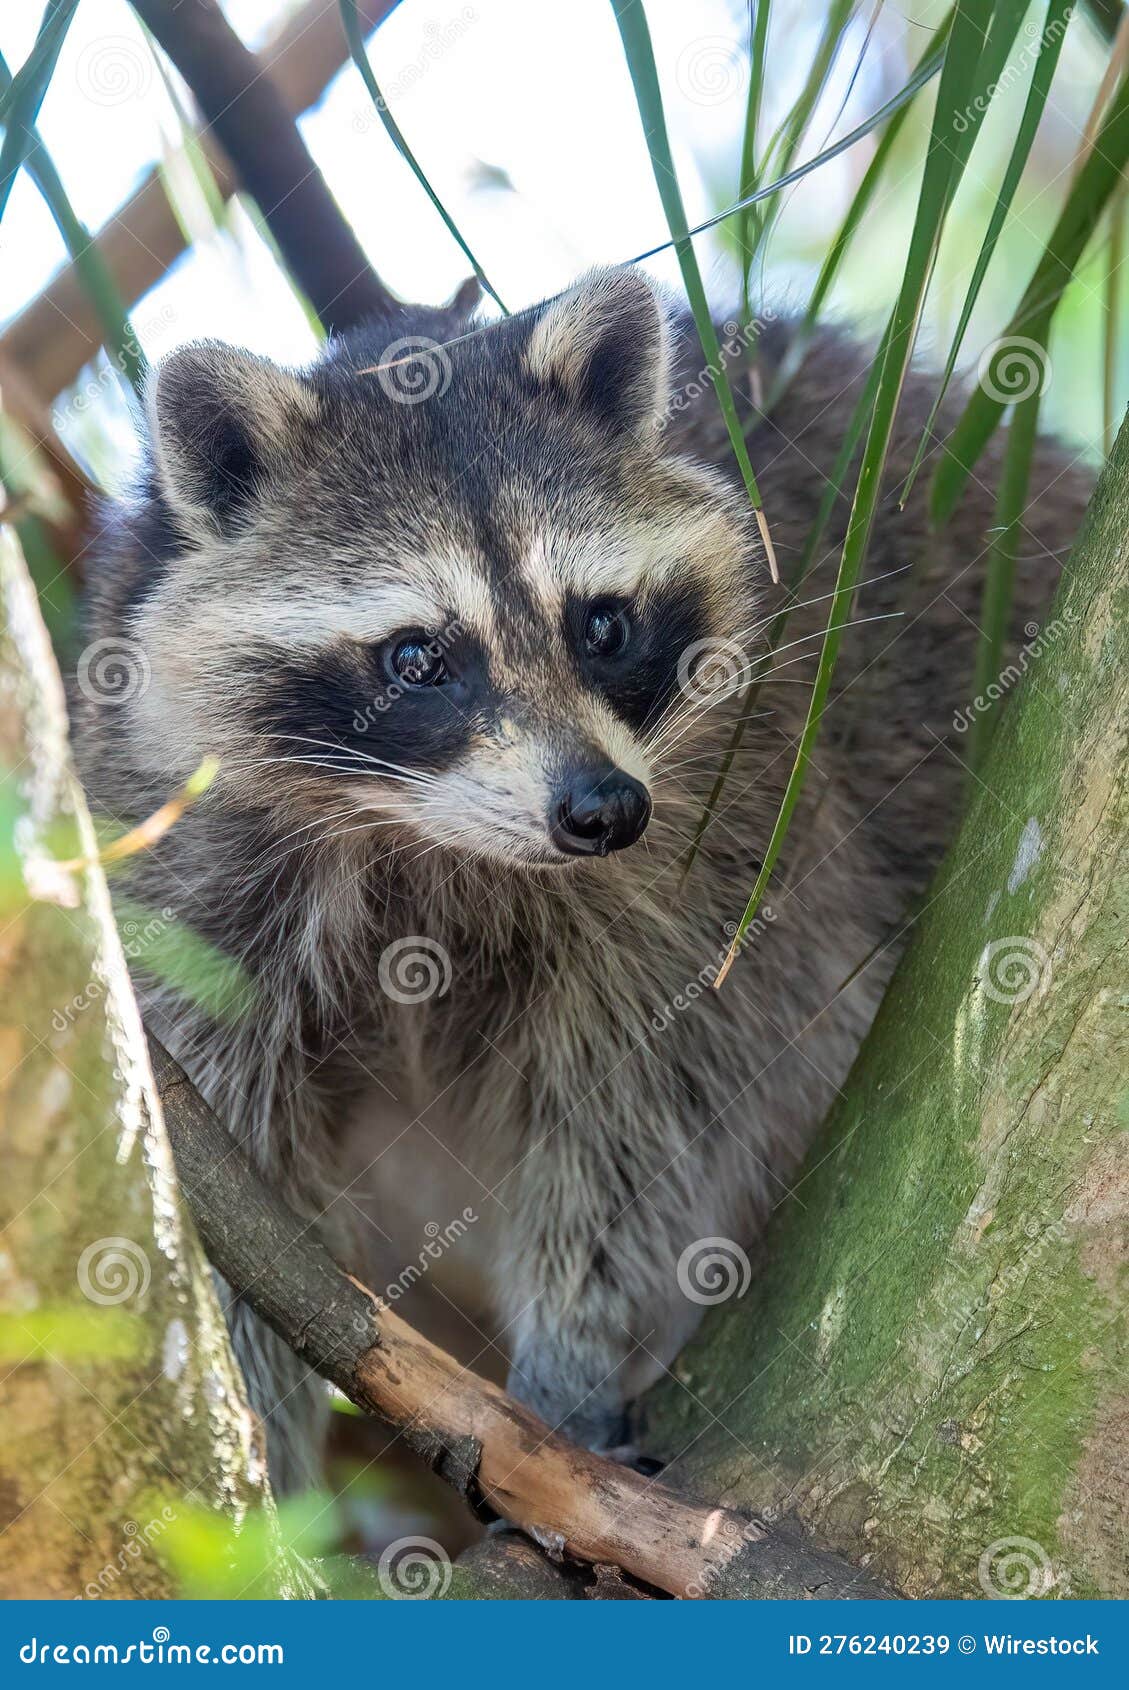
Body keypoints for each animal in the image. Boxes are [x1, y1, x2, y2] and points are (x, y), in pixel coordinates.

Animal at [74, 268, 1091, 1489]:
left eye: (601, 625)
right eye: (418, 657)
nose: (603, 811)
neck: (429, 839)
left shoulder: (733, 834)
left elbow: (661, 1100)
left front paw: (577, 1348)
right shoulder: (181, 860)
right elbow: (231, 1191)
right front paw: (259, 1441)